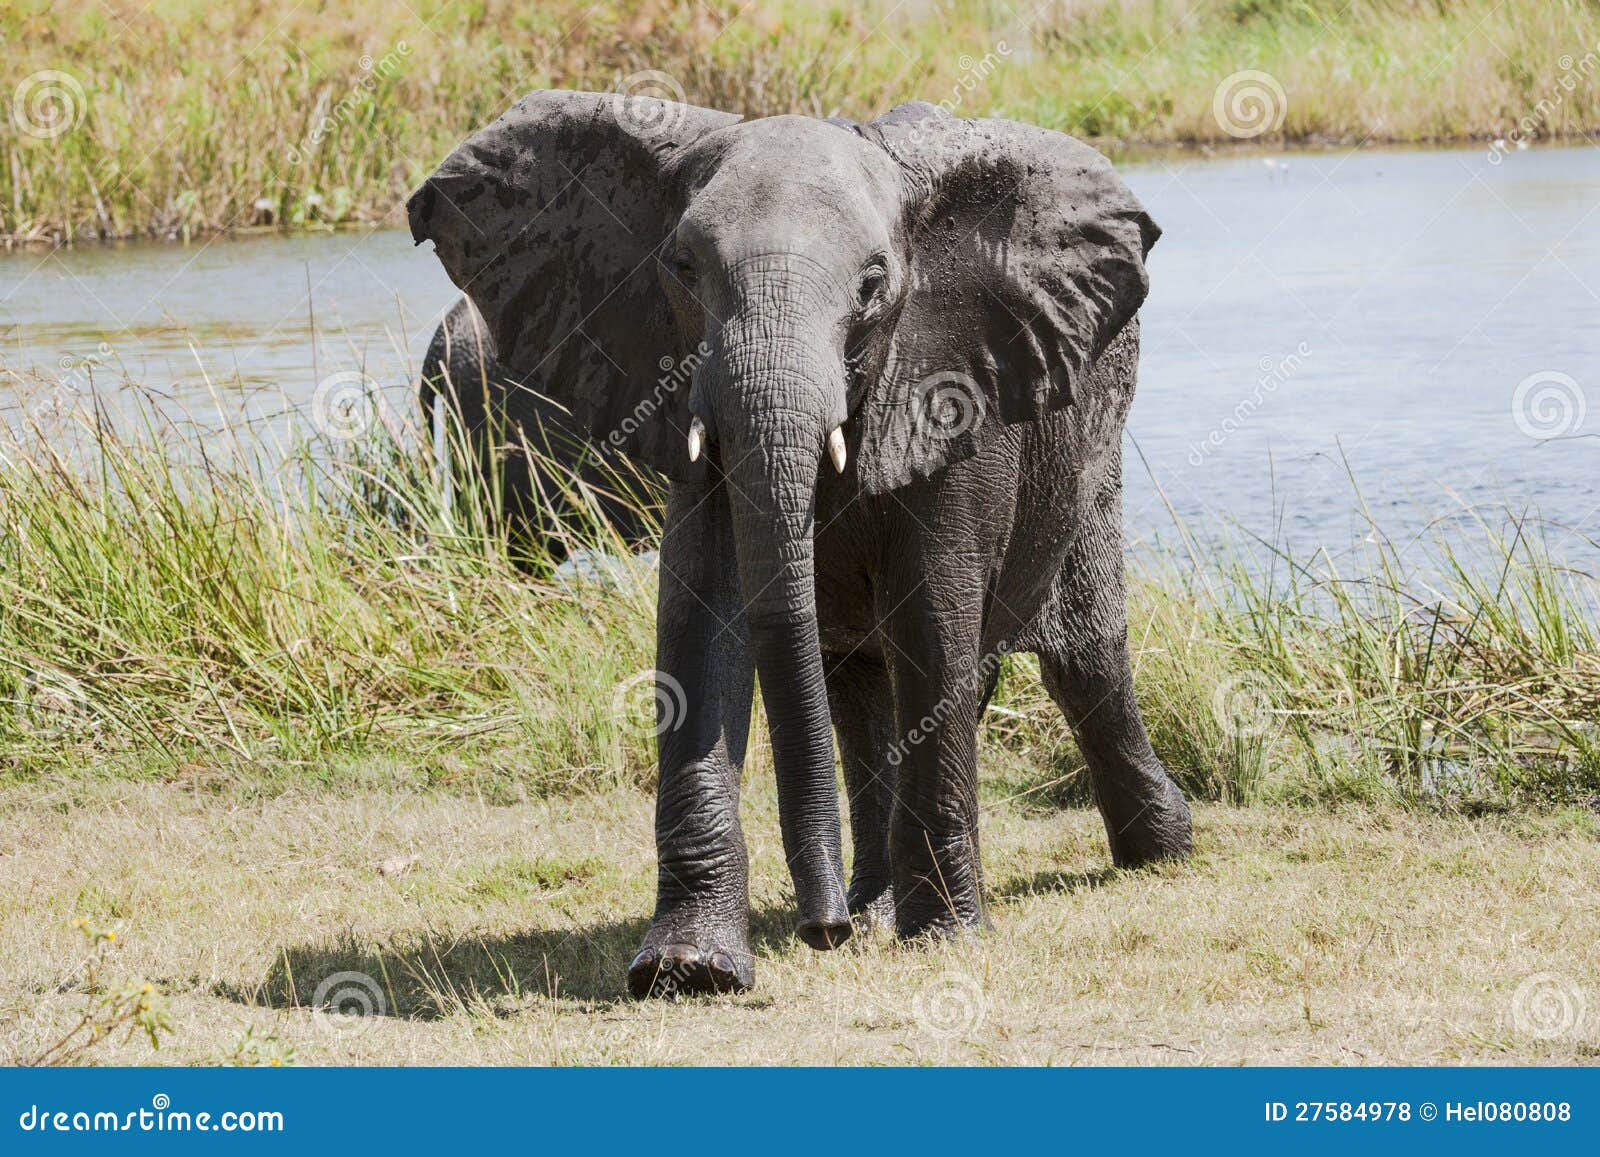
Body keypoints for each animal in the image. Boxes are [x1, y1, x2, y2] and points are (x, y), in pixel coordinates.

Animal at [408, 90, 1193, 998]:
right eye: (682, 268)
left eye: (873, 285)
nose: (824, 931)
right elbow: (700, 627)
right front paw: (689, 969)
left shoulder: (955, 386)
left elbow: (935, 623)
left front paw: (948, 938)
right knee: (857, 688)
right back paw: (879, 903)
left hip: (1093, 442)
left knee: (1084, 656)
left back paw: (1160, 852)